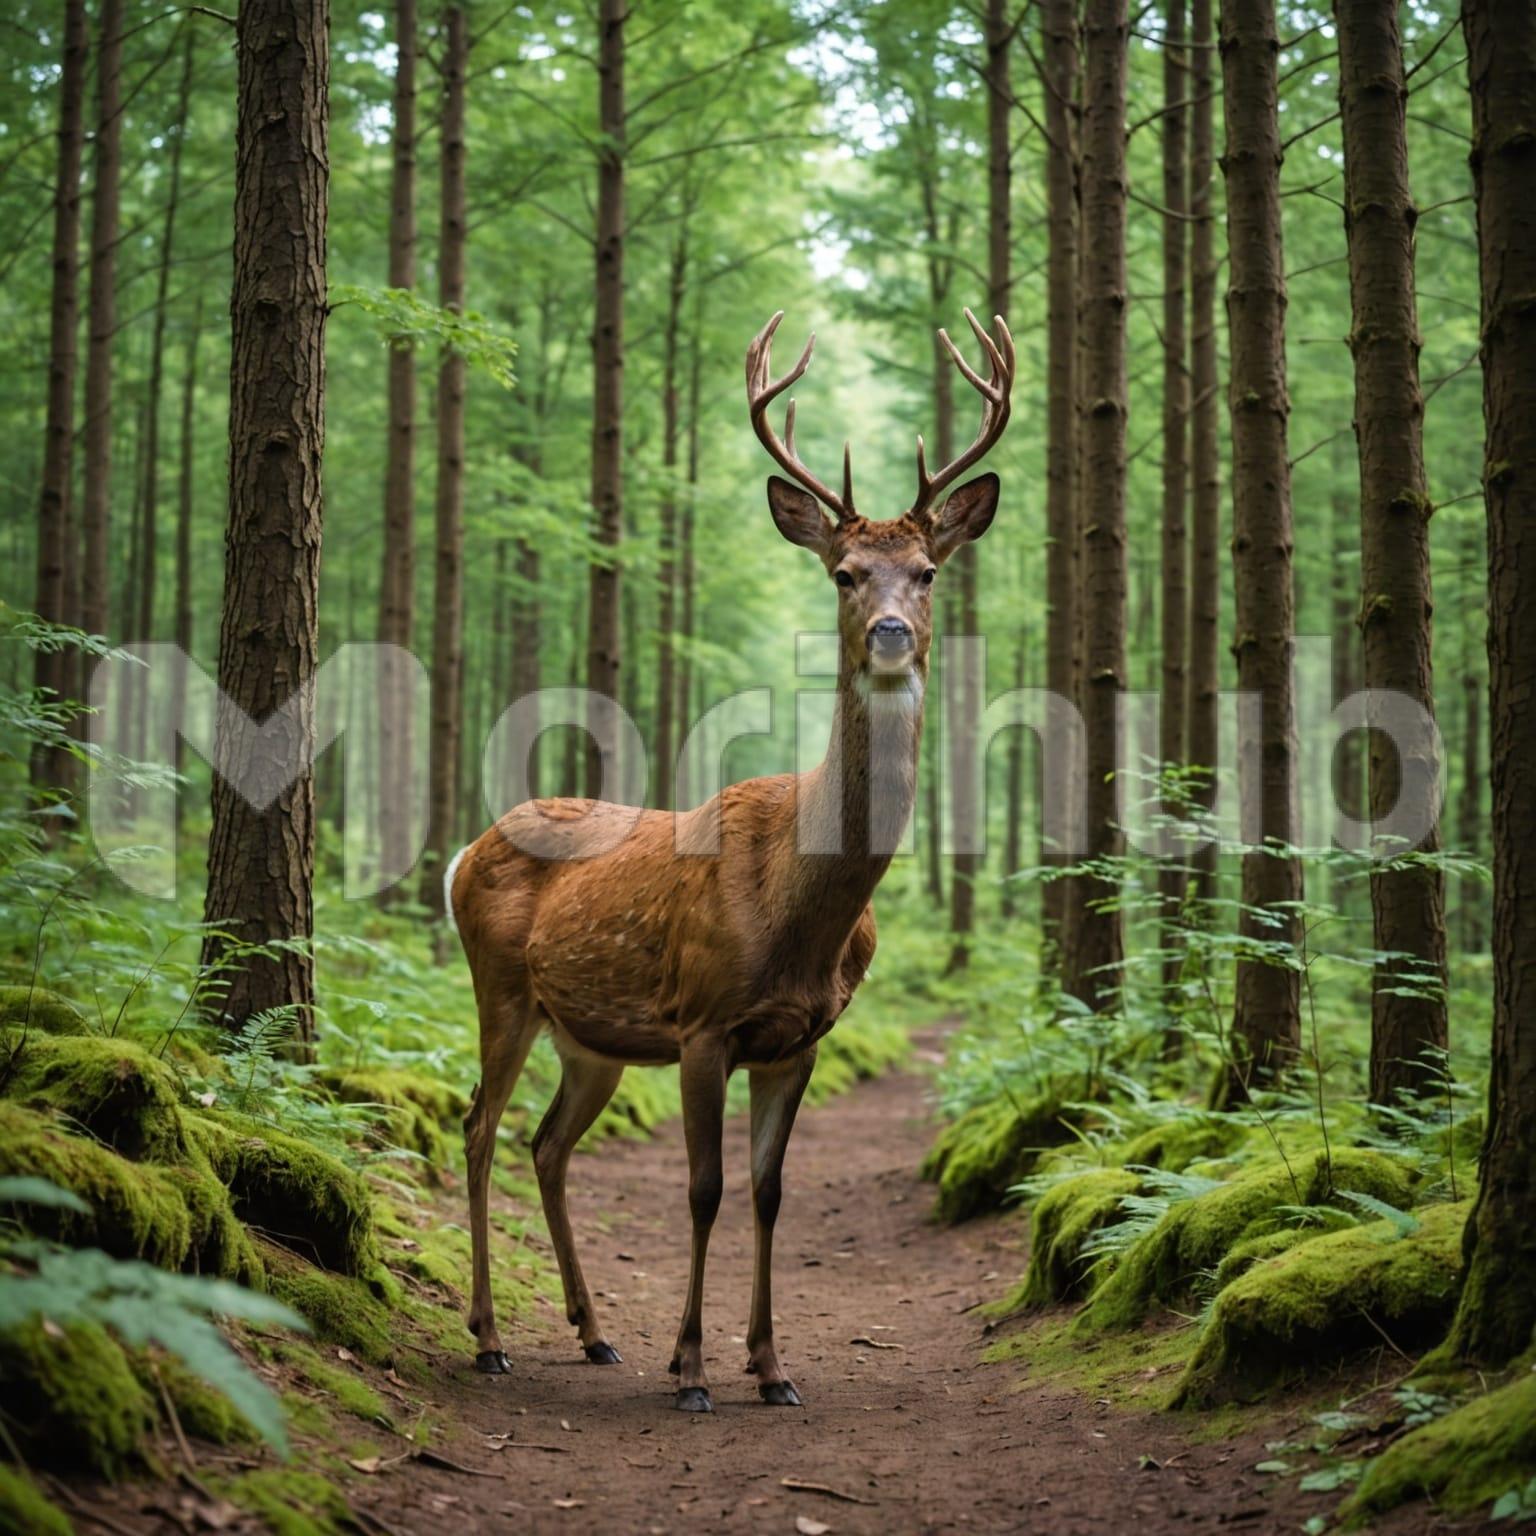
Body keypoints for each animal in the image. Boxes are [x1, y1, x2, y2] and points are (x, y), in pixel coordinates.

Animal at [449, 308, 1015, 1413]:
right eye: (844, 573)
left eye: (928, 572)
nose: (891, 634)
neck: (802, 914)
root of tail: (464, 851)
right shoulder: (704, 1021)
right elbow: (704, 1192)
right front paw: (692, 1369)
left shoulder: (800, 1039)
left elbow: (767, 1191)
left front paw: (772, 1366)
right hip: (501, 987)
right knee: (480, 1129)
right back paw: (488, 1338)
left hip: (591, 1039)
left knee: (547, 1142)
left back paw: (592, 1335)